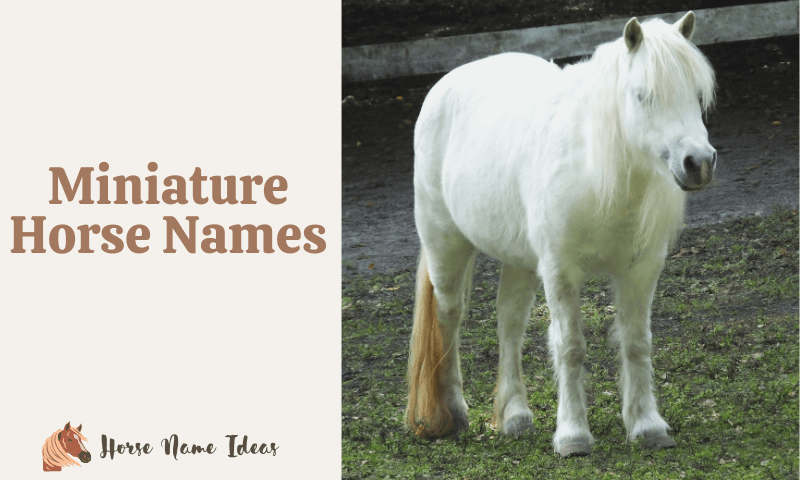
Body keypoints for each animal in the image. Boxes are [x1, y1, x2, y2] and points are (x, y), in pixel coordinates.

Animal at [406, 11, 716, 457]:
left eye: (696, 93)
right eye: (642, 96)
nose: (699, 163)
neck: (596, 168)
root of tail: (448, 83)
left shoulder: (641, 271)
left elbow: (636, 342)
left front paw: (647, 425)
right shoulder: (560, 270)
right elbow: (570, 347)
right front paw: (573, 436)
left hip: (519, 260)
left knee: (510, 321)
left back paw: (515, 416)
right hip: (446, 245)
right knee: (449, 317)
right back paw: (455, 413)